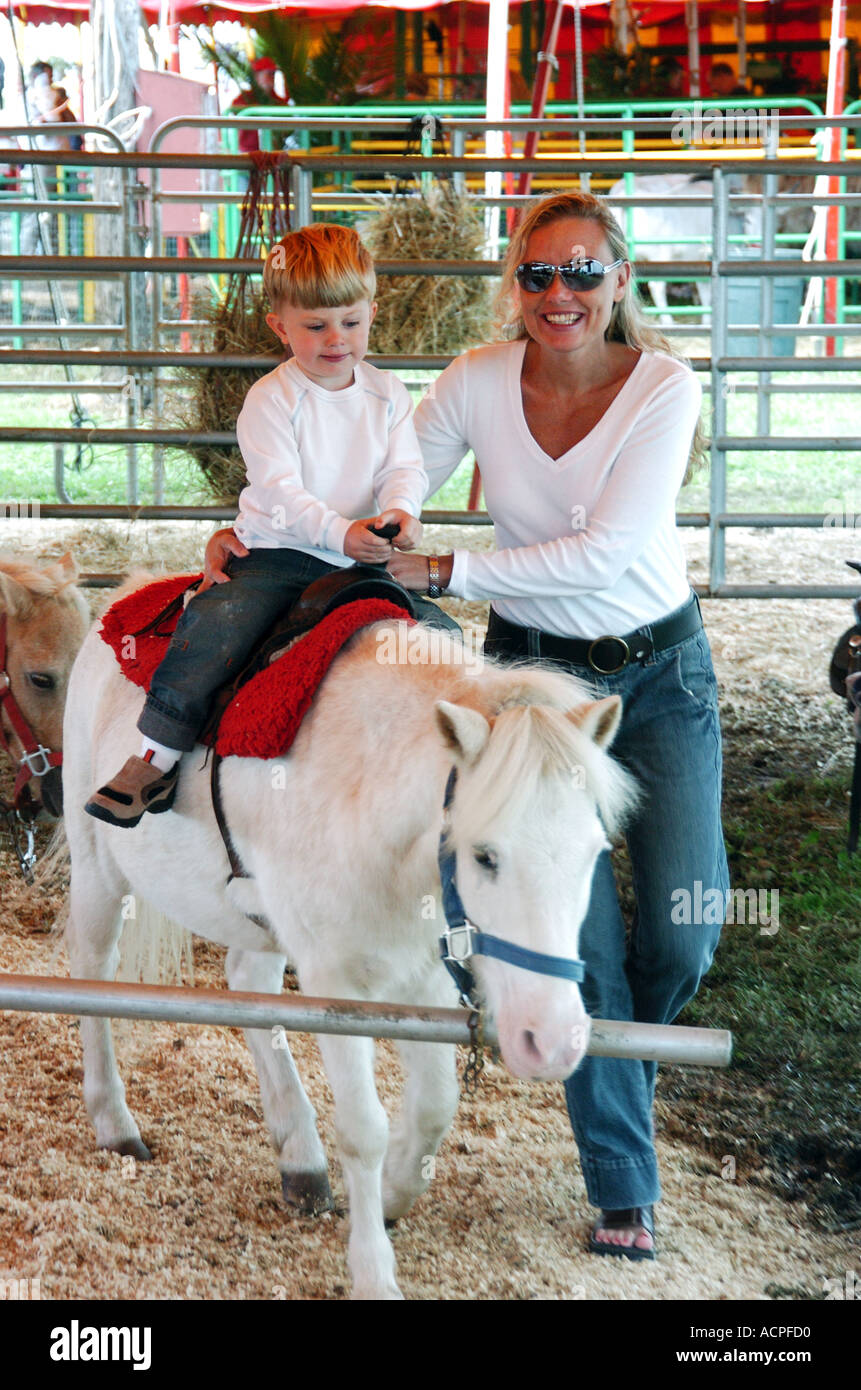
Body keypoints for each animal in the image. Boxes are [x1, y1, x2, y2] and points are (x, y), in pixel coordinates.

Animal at [63, 600, 637, 1301]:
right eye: (484, 855)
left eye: (595, 852)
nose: (551, 1041)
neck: (371, 795)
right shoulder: (336, 982)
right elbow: (364, 1129)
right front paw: (373, 1270)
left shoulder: (424, 977)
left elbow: (435, 1108)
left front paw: (393, 1195)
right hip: (98, 867)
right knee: (93, 974)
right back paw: (116, 1123)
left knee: (249, 987)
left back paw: (300, 1158)